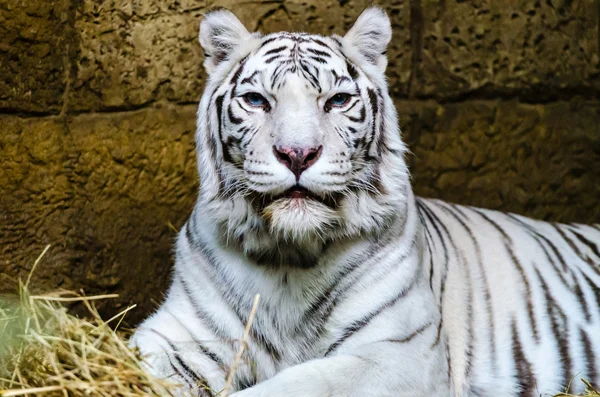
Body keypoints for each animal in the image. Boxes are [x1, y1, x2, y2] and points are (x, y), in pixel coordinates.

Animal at [131, 6, 600, 396]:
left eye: (337, 100)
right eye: (256, 100)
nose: (297, 154)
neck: (288, 258)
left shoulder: (399, 356)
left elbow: (296, 386)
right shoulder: (179, 334)